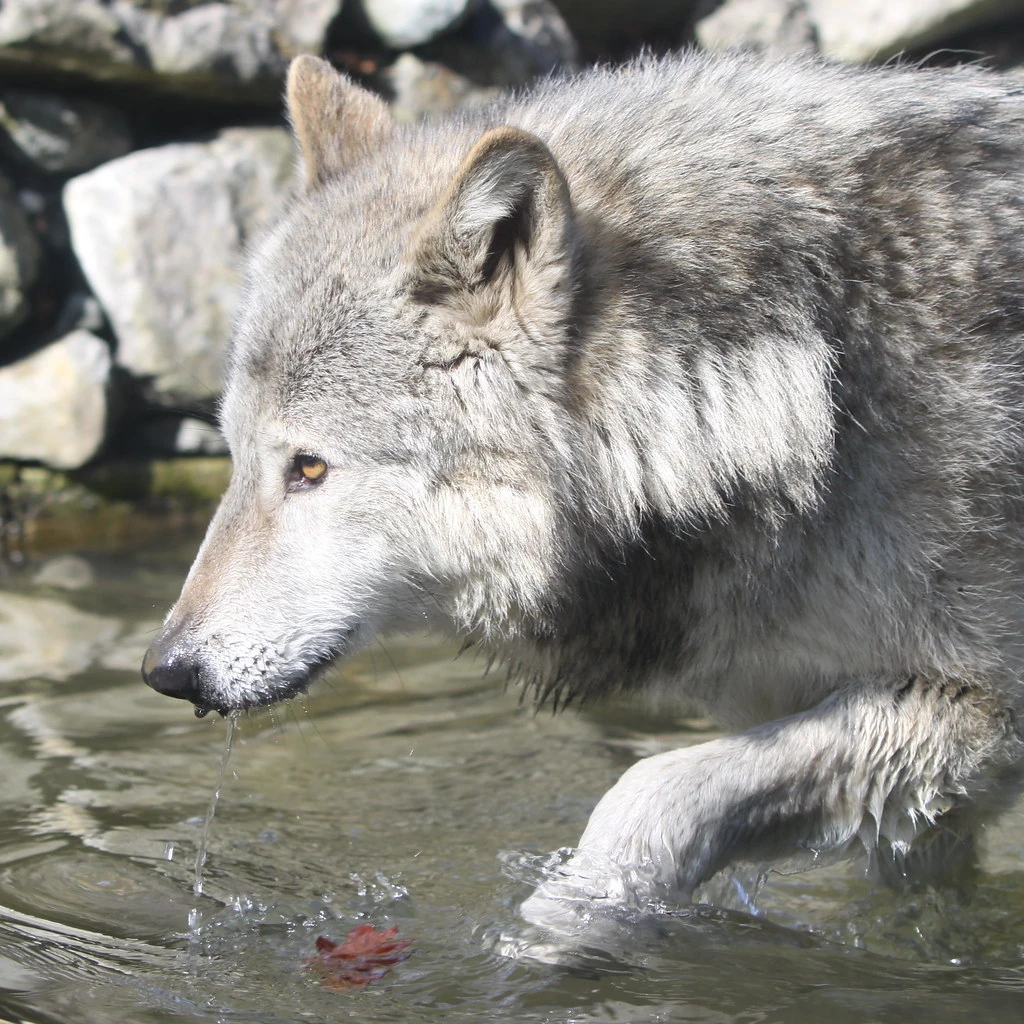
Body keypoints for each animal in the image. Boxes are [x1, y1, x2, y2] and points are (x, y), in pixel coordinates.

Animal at [143, 51, 1024, 922]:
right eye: (234, 456)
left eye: (310, 468)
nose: (164, 669)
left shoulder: (968, 711)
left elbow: (646, 798)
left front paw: (558, 930)